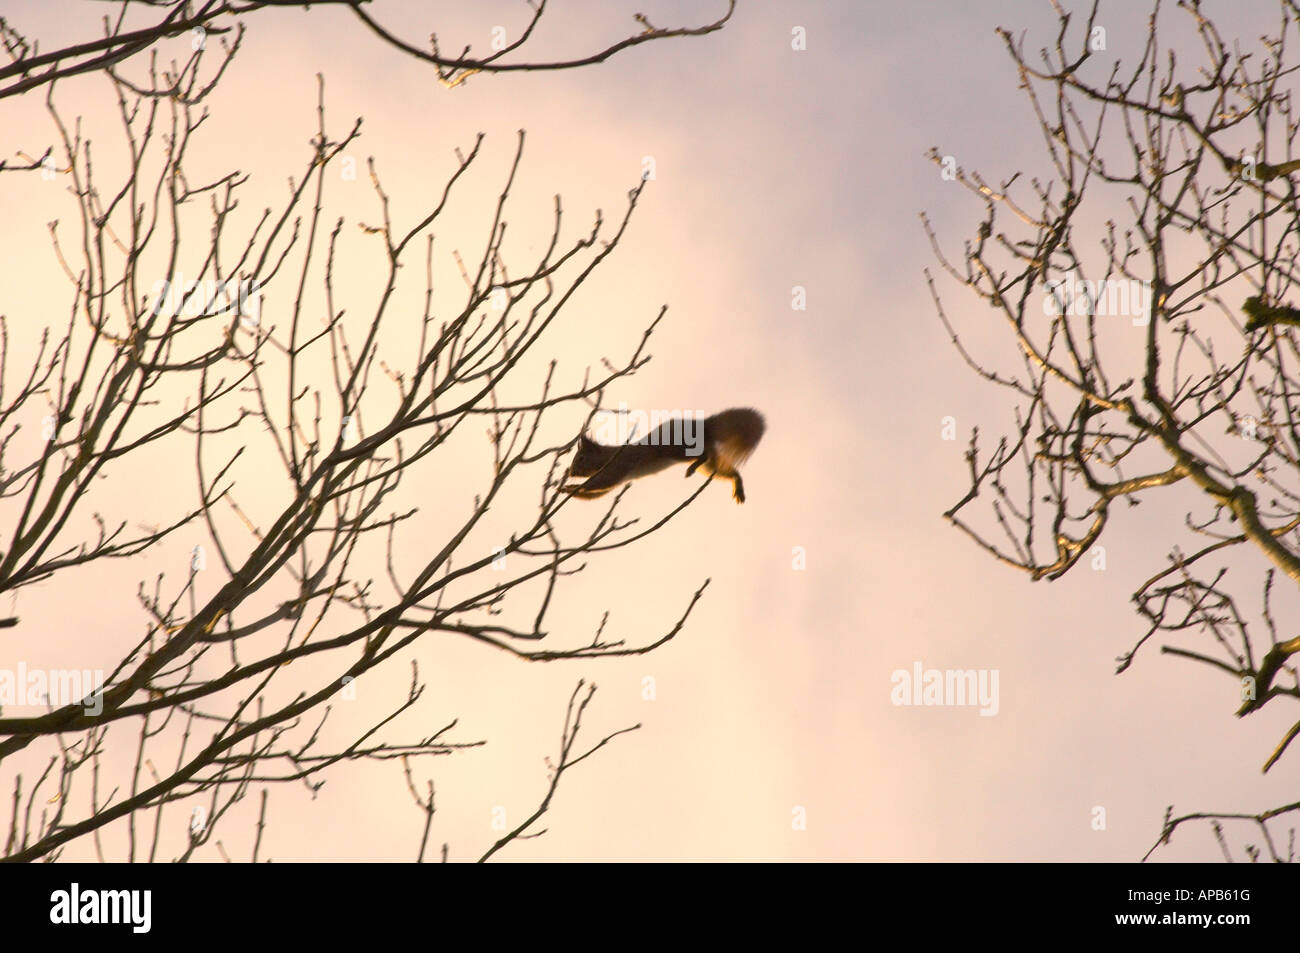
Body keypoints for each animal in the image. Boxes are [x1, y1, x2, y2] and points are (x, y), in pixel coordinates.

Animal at [561, 407, 765, 503]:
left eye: (581, 458)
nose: (570, 472)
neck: (607, 457)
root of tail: (705, 425)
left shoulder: (619, 465)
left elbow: (600, 483)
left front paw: (571, 487)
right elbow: (598, 493)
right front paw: (567, 490)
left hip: (677, 449)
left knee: (703, 456)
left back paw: (691, 468)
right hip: (709, 468)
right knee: (725, 471)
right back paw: (738, 487)